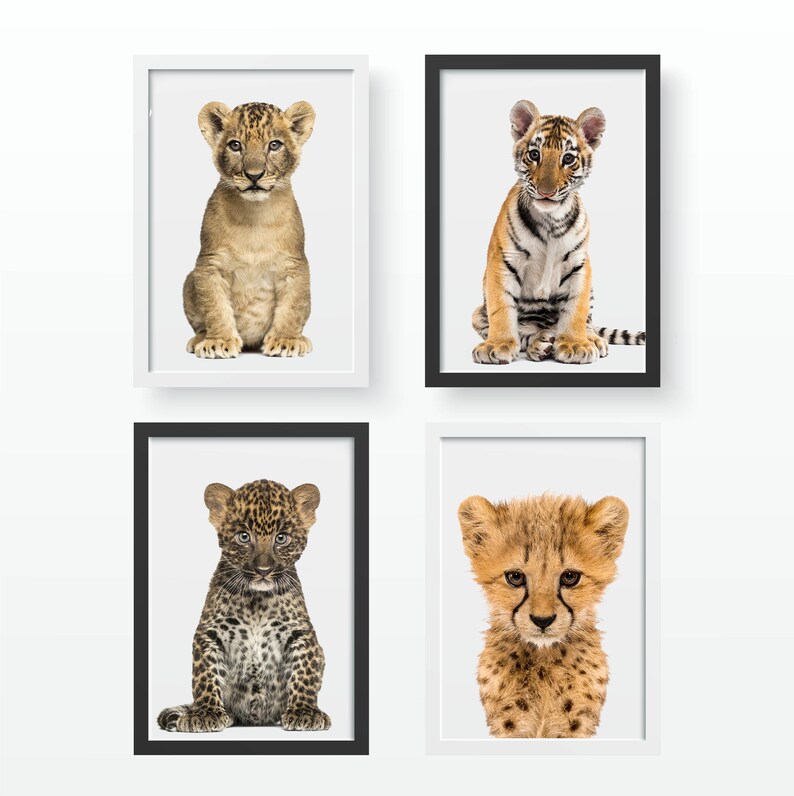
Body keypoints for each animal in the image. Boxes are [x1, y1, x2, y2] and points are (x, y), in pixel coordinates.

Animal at [471, 100, 645, 365]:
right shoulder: (502, 261)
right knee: (525, 332)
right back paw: (540, 343)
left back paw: (590, 339)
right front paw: (497, 345)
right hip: (477, 313)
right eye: (535, 154)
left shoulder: (579, 264)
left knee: (586, 323)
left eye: (568, 158)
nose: (547, 192)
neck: (550, 221)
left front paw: (576, 344)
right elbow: (501, 308)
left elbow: (576, 309)